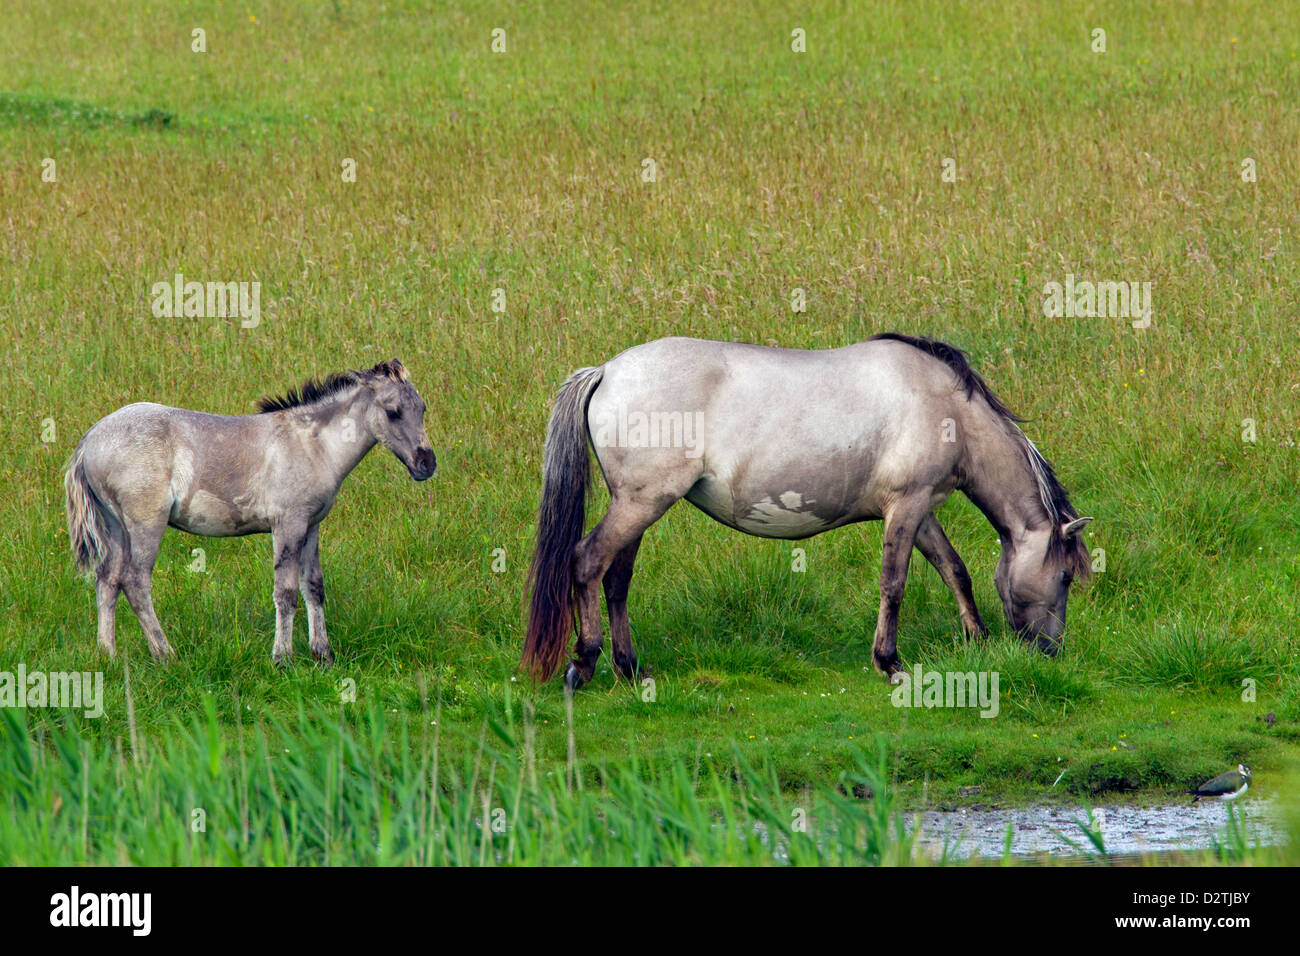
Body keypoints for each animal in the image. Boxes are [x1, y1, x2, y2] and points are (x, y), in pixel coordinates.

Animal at [64, 359, 437, 665]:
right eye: (392, 411)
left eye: (422, 408)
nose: (427, 464)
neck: (312, 445)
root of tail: (88, 441)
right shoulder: (288, 525)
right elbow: (286, 592)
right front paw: (282, 658)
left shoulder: (311, 525)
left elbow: (314, 587)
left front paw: (324, 655)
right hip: (146, 524)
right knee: (135, 581)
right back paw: (166, 654)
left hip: (116, 528)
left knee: (108, 580)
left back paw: (108, 655)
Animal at [522, 334, 1092, 689]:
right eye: (1065, 576)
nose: (1051, 652)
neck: (946, 407)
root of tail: (606, 372)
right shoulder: (906, 506)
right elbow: (894, 583)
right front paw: (890, 663)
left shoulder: (920, 510)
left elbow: (955, 570)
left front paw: (976, 640)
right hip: (641, 503)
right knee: (587, 562)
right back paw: (585, 662)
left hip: (639, 506)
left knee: (616, 580)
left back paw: (630, 668)